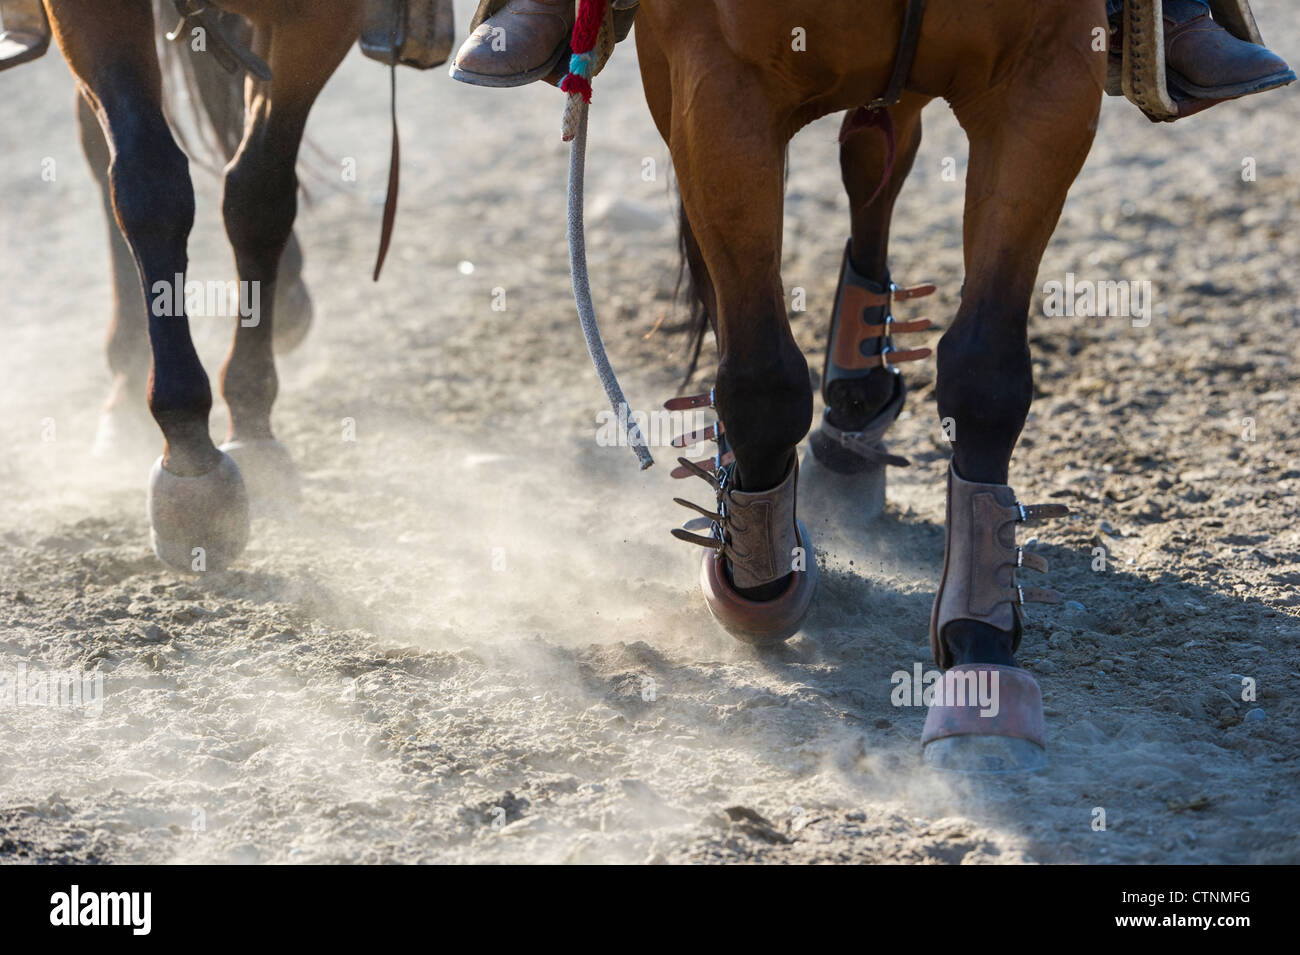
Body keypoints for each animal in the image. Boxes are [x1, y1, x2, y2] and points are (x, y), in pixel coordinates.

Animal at [634, 0, 1107, 771]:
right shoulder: (715, 82)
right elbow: (762, 380)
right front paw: (754, 569)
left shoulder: (1051, 75)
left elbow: (987, 374)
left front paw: (981, 652)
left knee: (877, 147)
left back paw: (856, 400)